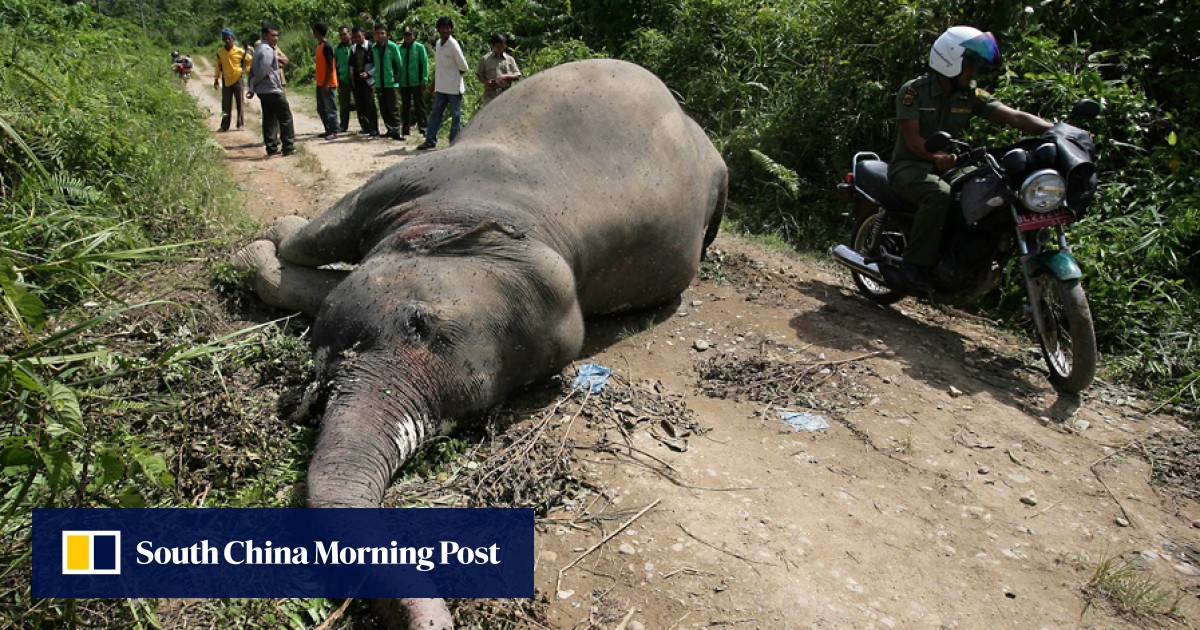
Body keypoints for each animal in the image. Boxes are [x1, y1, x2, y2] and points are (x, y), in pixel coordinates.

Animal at [233, 58, 726, 627]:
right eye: (417, 323)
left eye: (461, 419)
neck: (534, 227)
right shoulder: (426, 177)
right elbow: (317, 236)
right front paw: (270, 235)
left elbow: (328, 282)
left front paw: (255, 252)